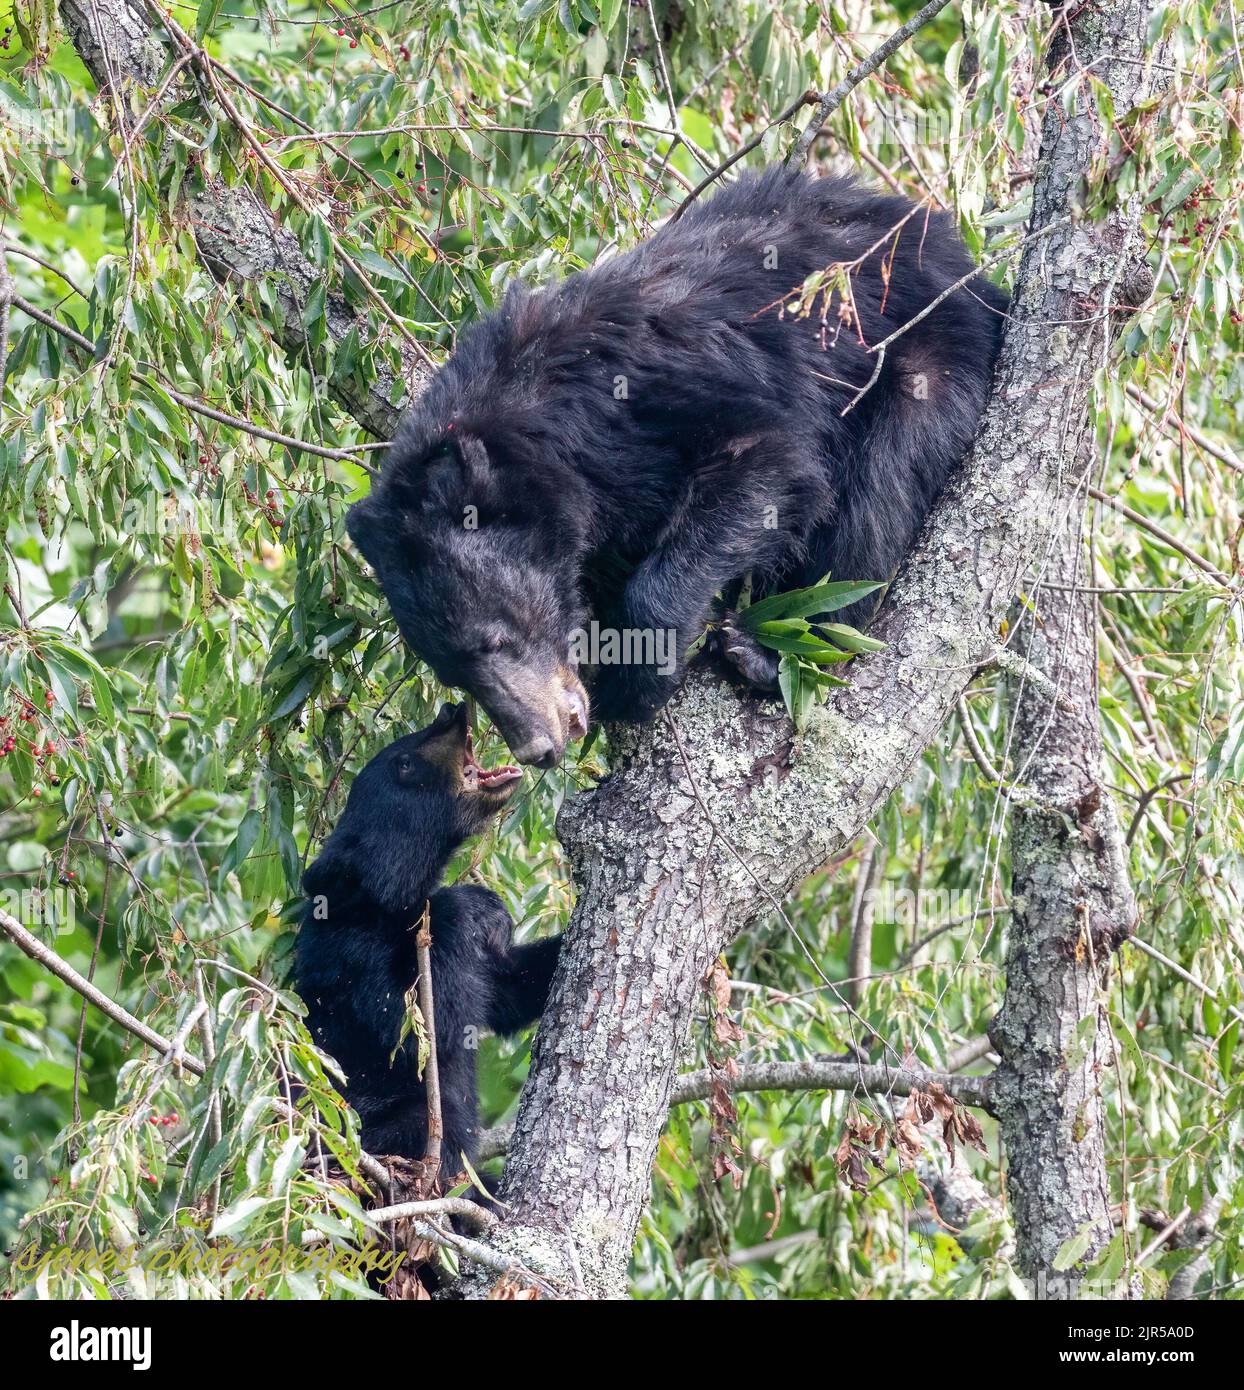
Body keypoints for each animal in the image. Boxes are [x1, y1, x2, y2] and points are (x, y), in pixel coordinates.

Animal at [295, 702, 562, 1168]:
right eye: (404, 763)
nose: (450, 710)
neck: (389, 898)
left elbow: (503, 989)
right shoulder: (350, 951)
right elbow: (416, 1024)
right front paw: (475, 904)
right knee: (423, 1118)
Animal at [346, 165, 1008, 766]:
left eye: (497, 639)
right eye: (452, 671)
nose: (538, 748)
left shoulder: (663, 394)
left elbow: (768, 458)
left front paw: (635, 677)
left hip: (930, 349)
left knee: (878, 493)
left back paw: (772, 652)